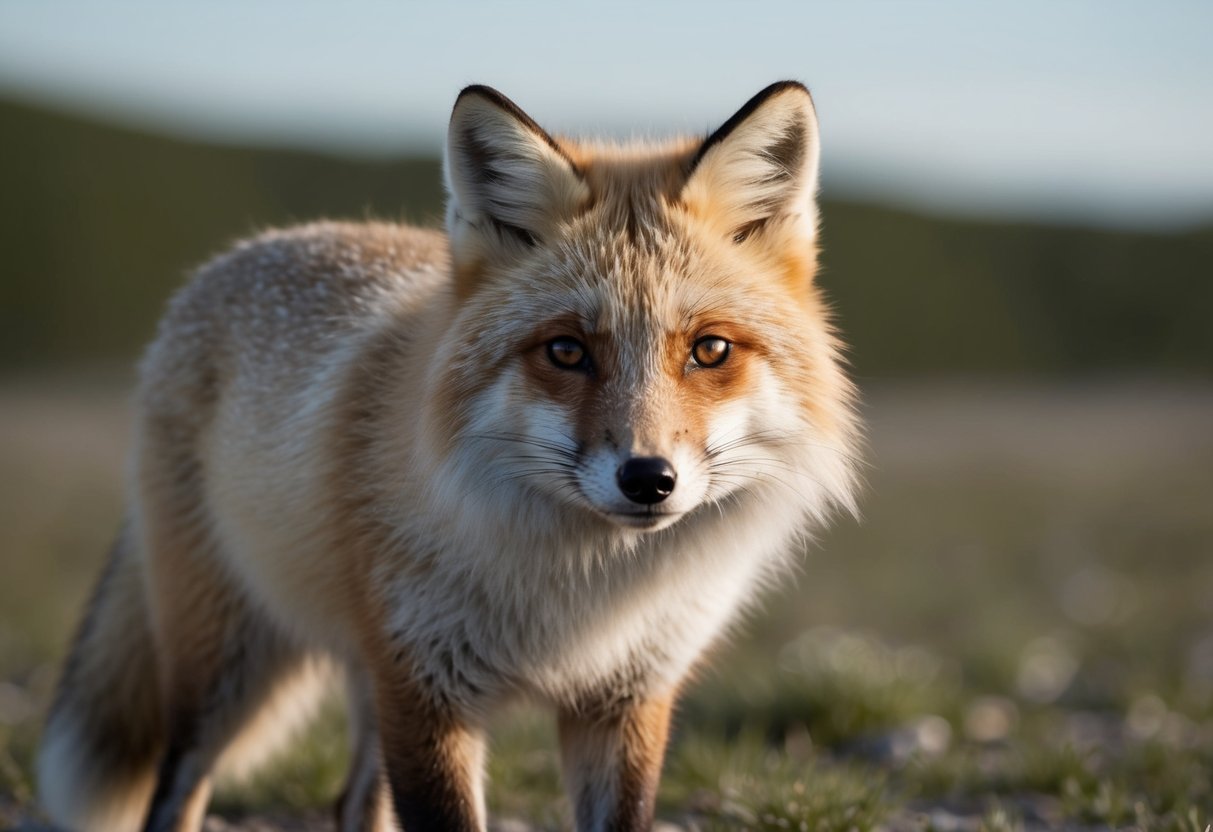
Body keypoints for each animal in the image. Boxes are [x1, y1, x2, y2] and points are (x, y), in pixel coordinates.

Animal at [37, 81, 860, 832]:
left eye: (709, 350)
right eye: (566, 351)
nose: (648, 479)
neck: (576, 598)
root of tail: (237, 254)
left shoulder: (624, 699)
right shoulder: (427, 692)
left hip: (362, 677)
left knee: (352, 805)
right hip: (226, 663)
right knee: (176, 793)